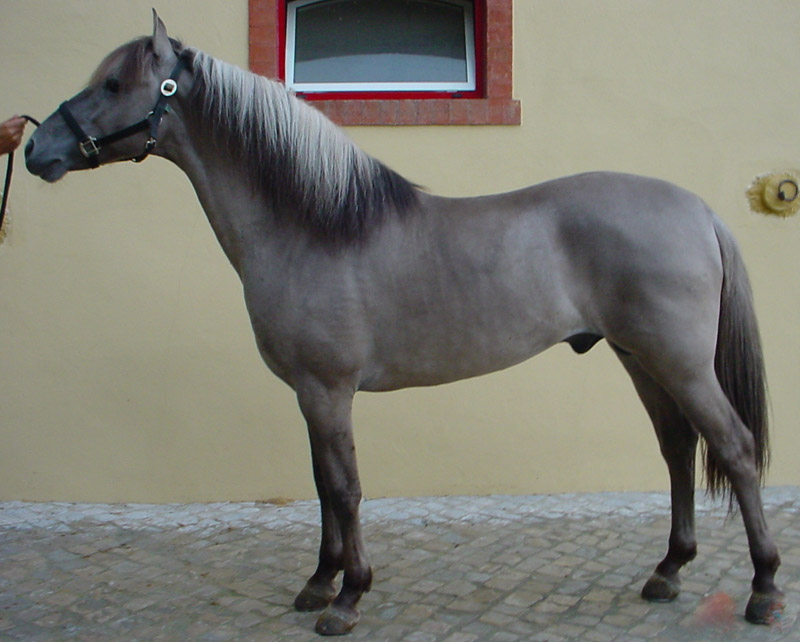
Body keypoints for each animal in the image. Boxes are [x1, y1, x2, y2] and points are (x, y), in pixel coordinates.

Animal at [25, 11, 784, 636]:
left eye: (115, 82)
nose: (37, 150)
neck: (313, 226)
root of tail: (698, 209)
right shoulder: (310, 394)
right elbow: (322, 486)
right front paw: (318, 582)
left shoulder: (328, 390)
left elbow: (346, 488)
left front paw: (347, 598)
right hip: (640, 357)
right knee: (678, 449)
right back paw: (668, 572)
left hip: (680, 362)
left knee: (736, 449)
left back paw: (765, 588)